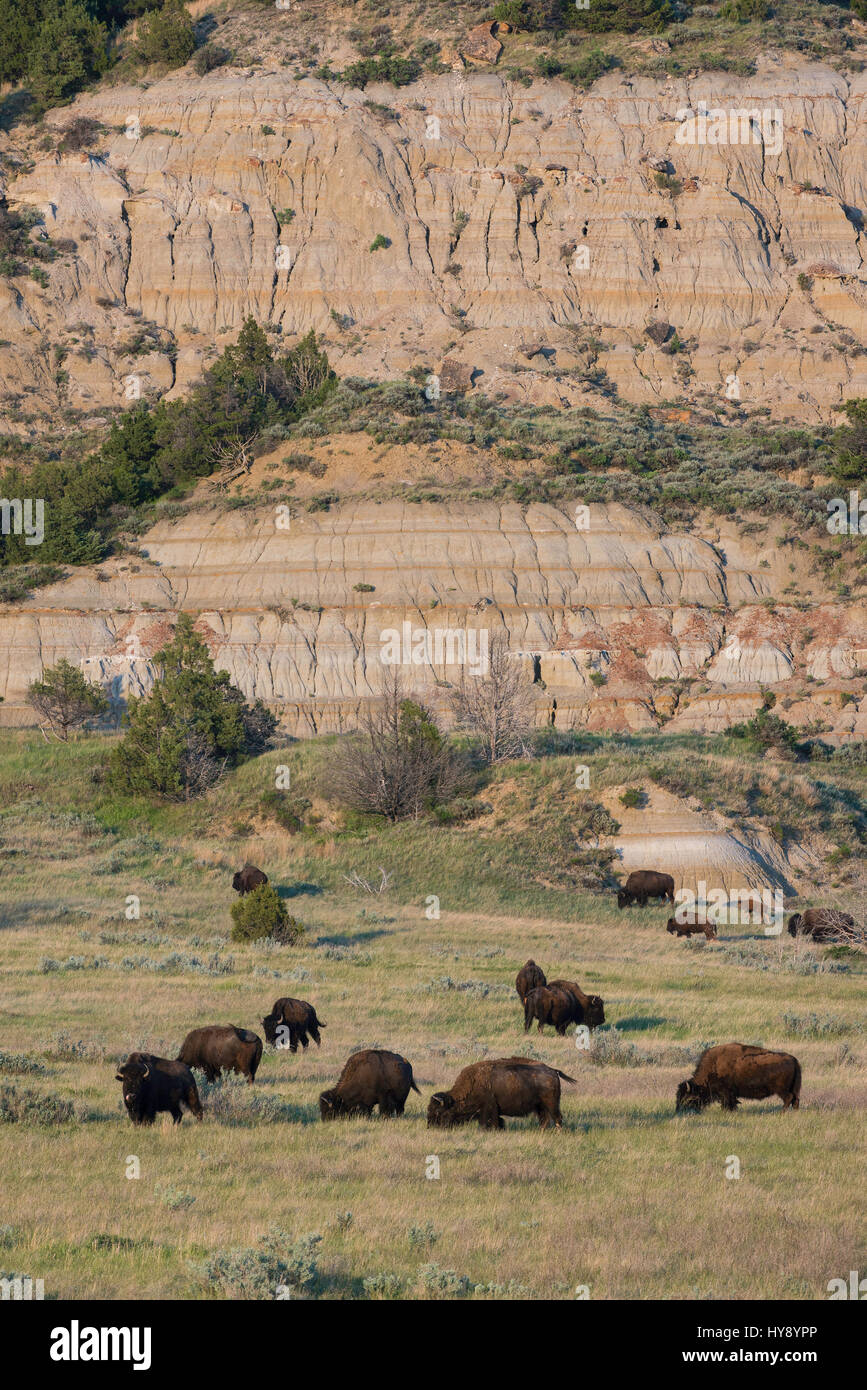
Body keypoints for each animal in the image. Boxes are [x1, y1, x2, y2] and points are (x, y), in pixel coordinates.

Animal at [428, 1057, 576, 1130]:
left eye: (439, 1112)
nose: (431, 1127)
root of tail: (553, 1071)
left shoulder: (488, 1109)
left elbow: (488, 1123)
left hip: (552, 1104)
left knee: (557, 1118)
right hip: (540, 1107)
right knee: (544, 1120)